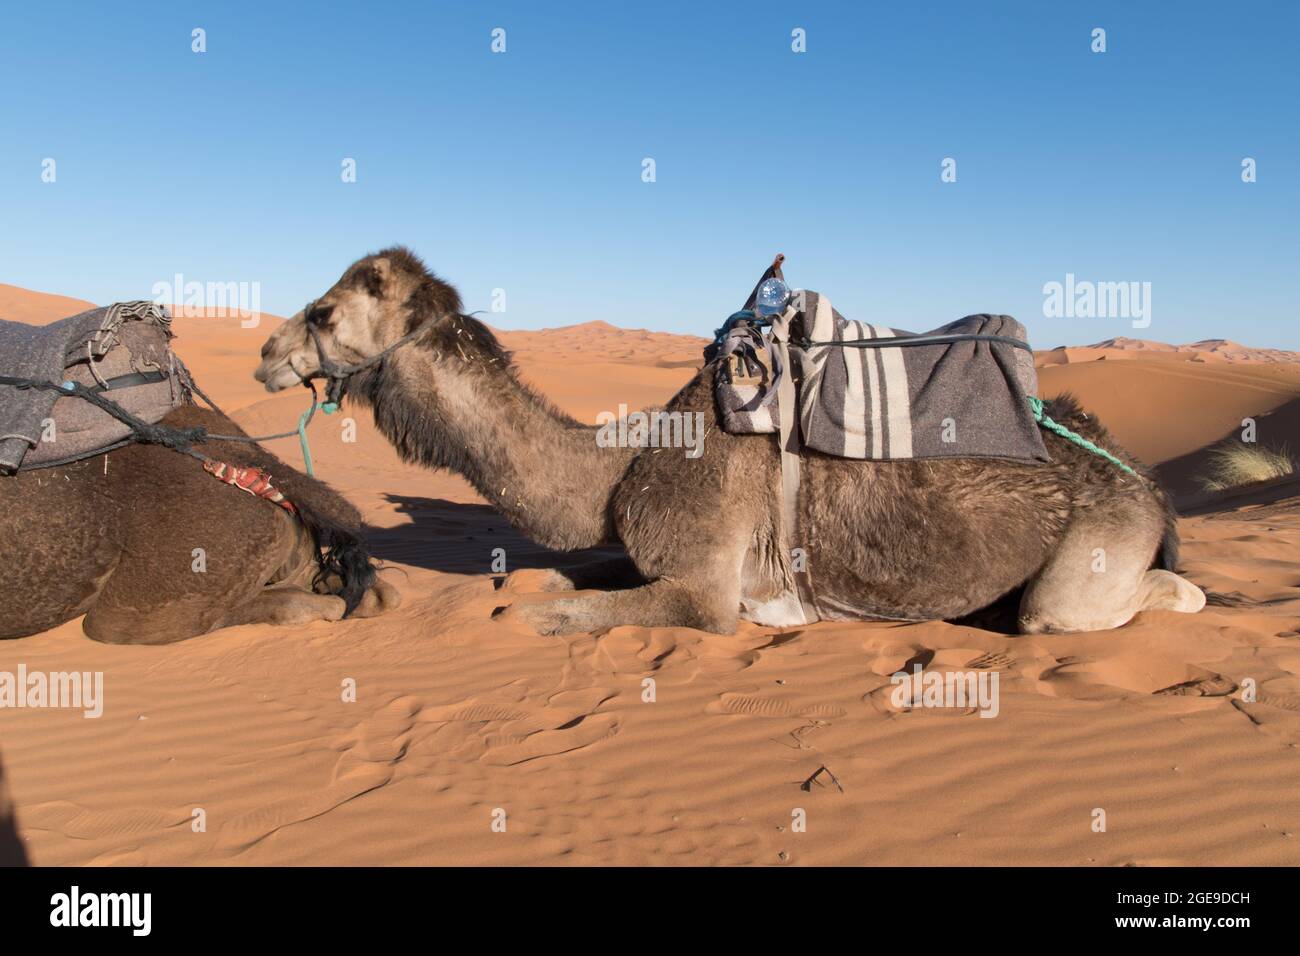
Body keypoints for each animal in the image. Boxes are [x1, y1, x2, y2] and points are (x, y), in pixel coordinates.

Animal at [254, 247, 1206, 636]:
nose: (266, 352)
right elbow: (547, 579)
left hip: (1097, 547)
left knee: (1098, 606)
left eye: (326, 312)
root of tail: (1146, 486)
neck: (622, 462)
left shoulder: (706, 590)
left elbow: (532, 612)